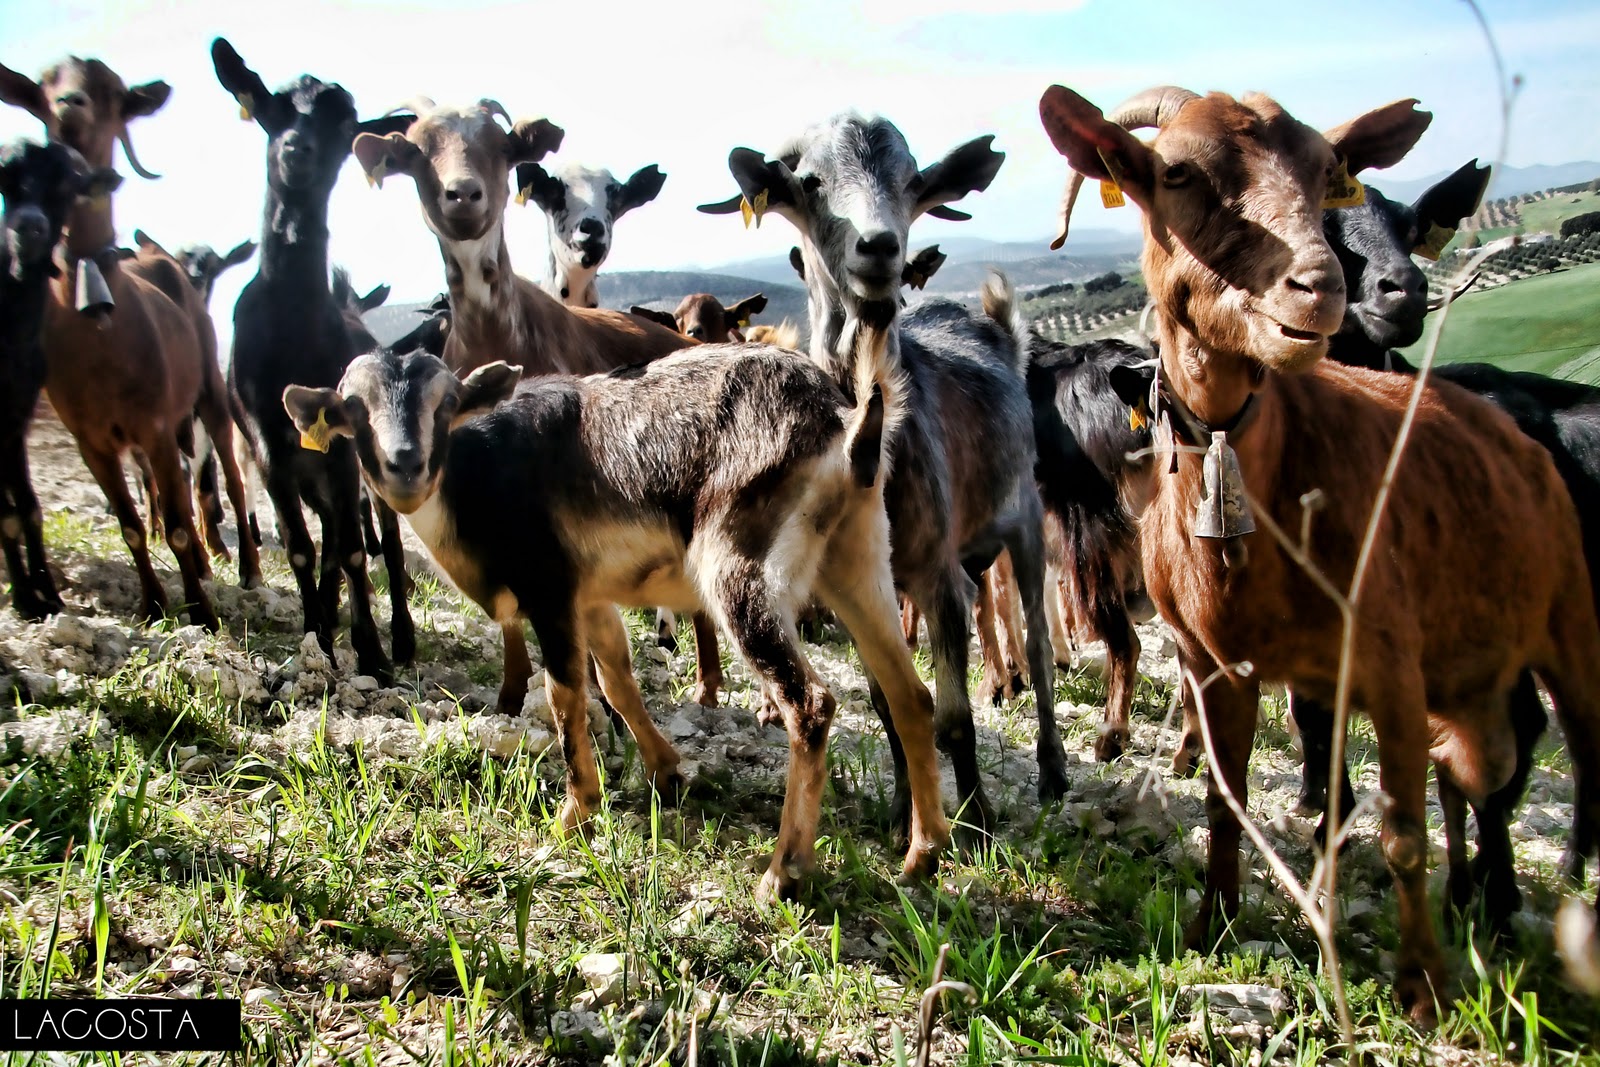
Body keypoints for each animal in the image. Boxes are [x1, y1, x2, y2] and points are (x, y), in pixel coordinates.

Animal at [1, 56, 237, 630]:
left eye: (113, 93)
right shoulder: (91, 442)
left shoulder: (154, 427)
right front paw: (153, 605)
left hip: (209, 399)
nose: (71, 105)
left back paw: (243, 568)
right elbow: (131, 525)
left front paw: (201, 613)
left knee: (230, 483)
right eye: (44, 89)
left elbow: (177, 525)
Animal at [209, 37, 415, 678]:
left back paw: (400, 638)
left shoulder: (345, 447)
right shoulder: (268, 443)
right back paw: (327, 620)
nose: (296, 151)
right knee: (322, 538)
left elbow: (350, 548)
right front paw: (316, 642)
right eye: (271, 109)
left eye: (346, 125)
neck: (292, 324)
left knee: (379, 542)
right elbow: (302, 548)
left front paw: (371, 654)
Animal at [283, 327, 950, 902]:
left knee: (809, 703)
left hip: (740, 565)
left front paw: (573, 813)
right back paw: (924, 856)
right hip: (858, 553)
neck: (476, 475)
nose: (405, 465)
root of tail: (846, 424)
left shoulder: (549, 590)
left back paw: (782, 874)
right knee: (910, 694)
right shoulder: (592, 597)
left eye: (447, 403)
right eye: (351, 409)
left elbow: (565, 695)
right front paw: (666, 772)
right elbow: (617, 680)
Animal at [701, 115, 1068, 831]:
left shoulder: (937, 576)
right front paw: (901, 812)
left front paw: (975, 821)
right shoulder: (856, 587)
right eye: (811, 182)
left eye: (914, 180)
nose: (879, 247)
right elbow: (889, 705)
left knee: (1039, 644)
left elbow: (953, 717)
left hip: (1025, 519)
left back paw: (1053, 772)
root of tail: (1002, 334)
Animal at [1040, 83, 1600, 1025]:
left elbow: (1401, 832)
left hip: (1566, 632)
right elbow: (1228, 797)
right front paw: (1216, 921)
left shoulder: (1389, 660)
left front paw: (1422, 985)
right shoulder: (1219, 663)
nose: (1319, 288)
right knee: (1477, 771)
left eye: (1321, 174)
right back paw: (1477, 896)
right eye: (1176, 173)